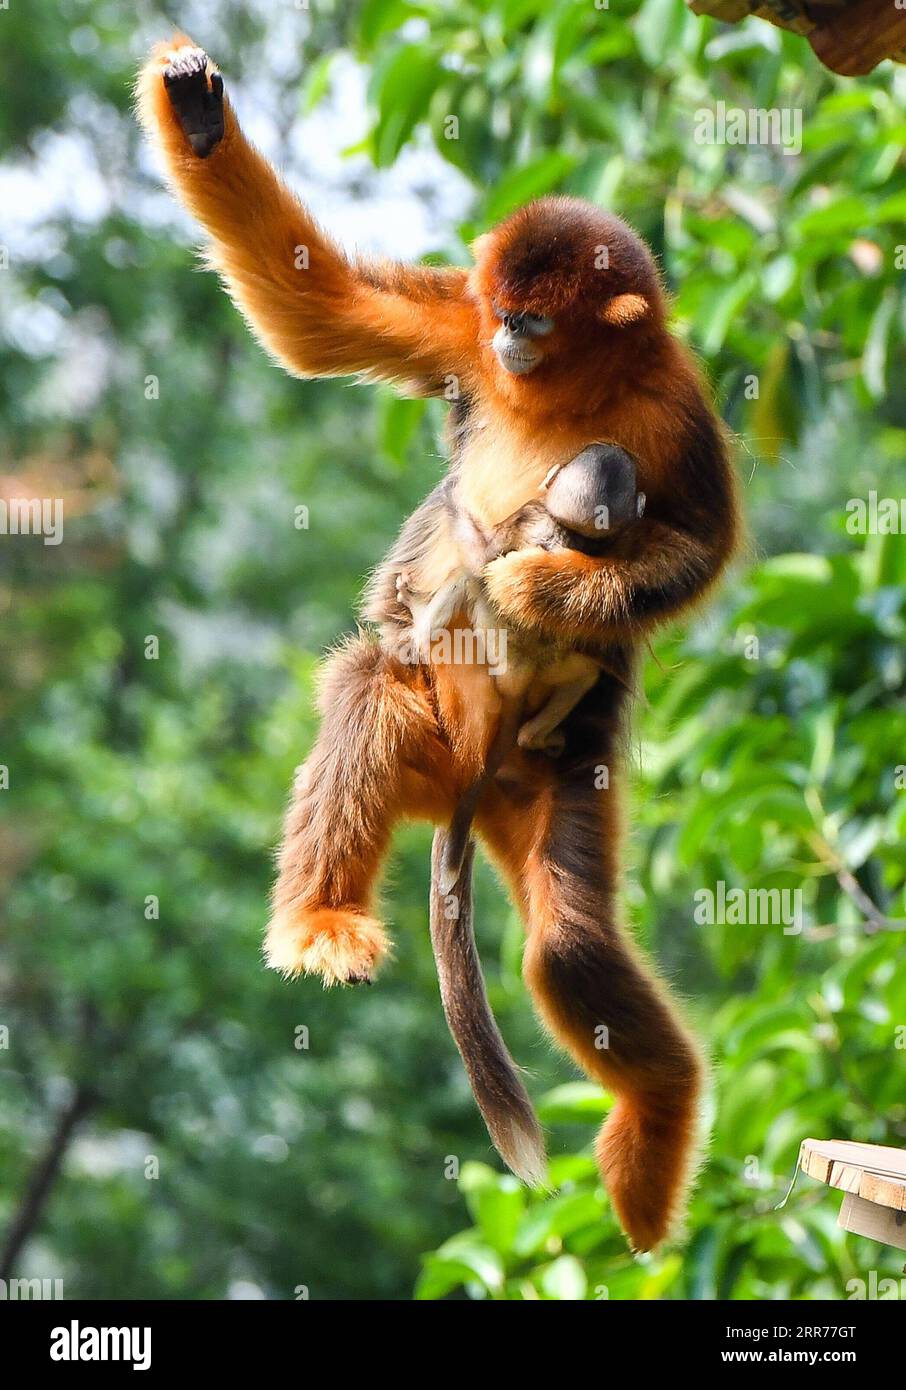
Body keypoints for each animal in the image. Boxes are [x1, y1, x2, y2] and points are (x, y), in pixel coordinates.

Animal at [137, 37, 741, 1252]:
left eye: (538, 322)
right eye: (507, 312)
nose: (510, 335)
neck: (577, 388)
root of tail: (469, 778)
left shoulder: (678, 404)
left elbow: (700, 552)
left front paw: (552, 583)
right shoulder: (460, 332)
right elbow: (317, 308)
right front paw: (200, 119)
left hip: (557, 773)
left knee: (568, 944)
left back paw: (660, 1111)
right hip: (426, 724)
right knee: (375, 682)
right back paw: (322, 919)